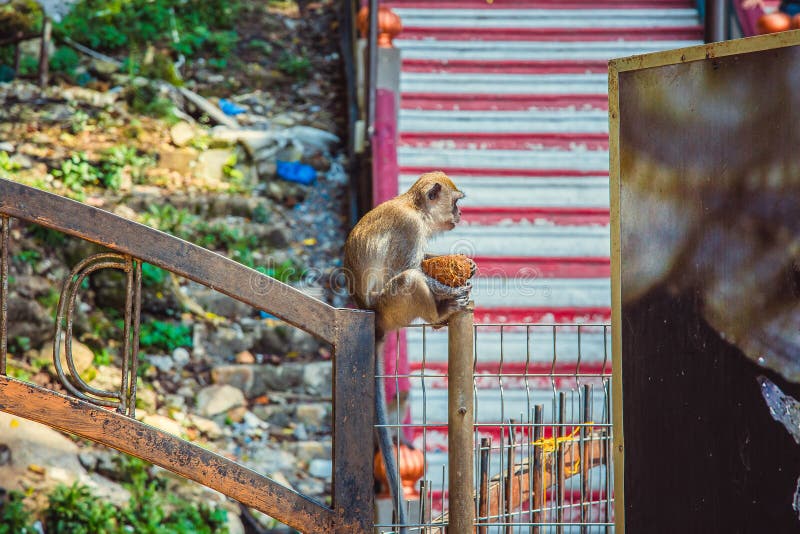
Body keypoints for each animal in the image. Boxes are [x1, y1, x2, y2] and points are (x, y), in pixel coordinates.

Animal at [344, 171, 473, 531]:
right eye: (455, 202)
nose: (460, 214)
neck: (414, 208)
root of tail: (374, 319)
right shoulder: (408, 230)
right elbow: (407, 269)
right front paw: (451, 288)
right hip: (391, 308)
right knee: (410, 280)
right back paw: (440, 314)